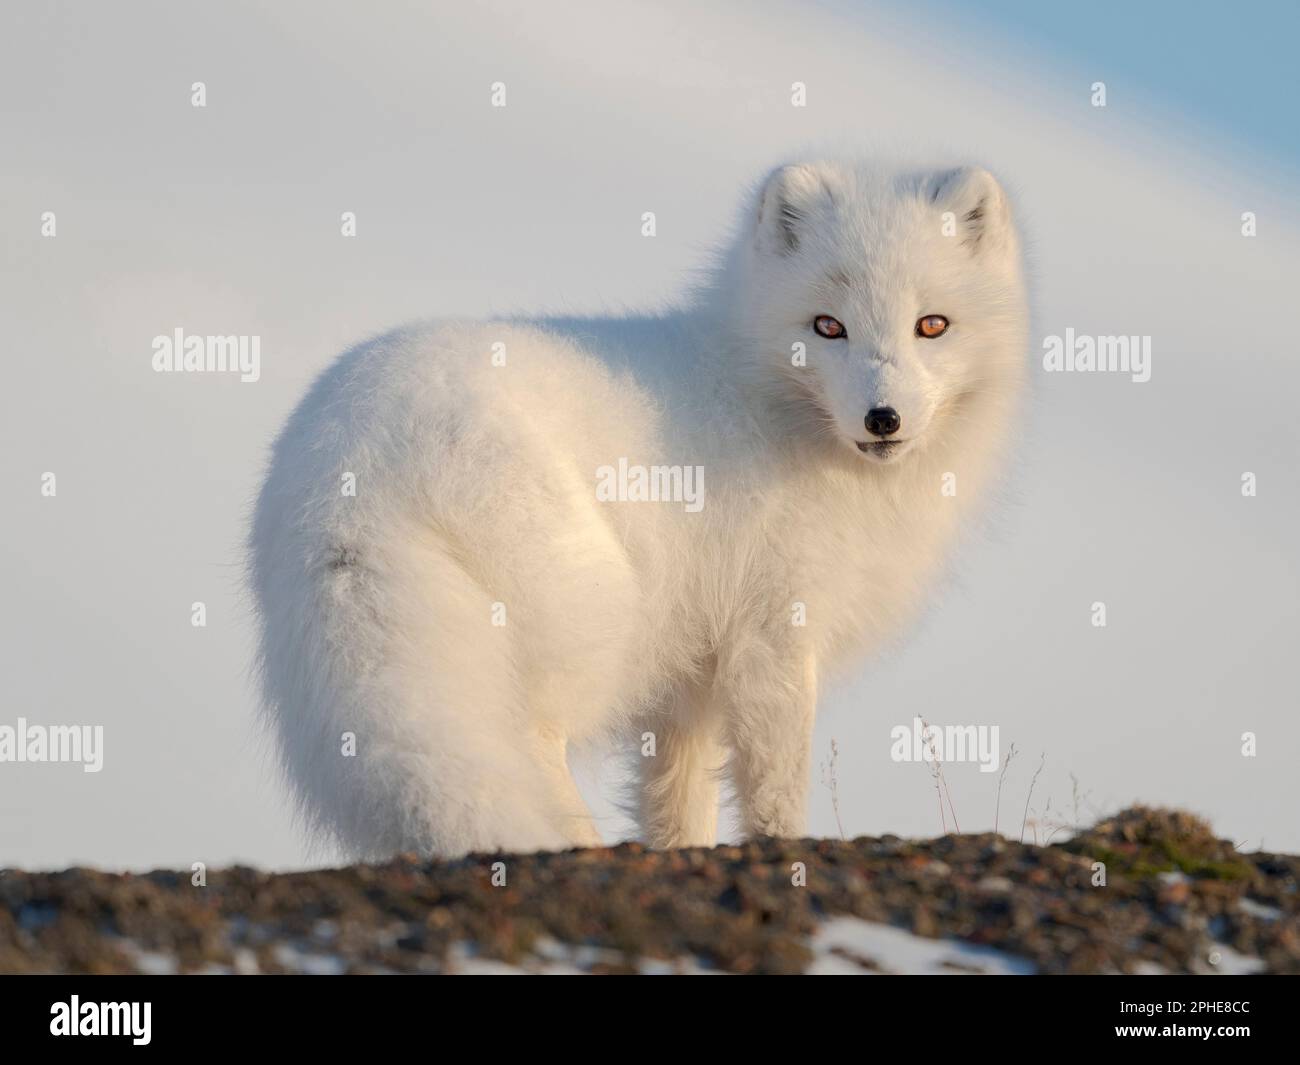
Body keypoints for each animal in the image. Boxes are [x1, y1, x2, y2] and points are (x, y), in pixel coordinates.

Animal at [248, 159, 1030, 860]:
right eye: (828, 326)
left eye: (933, 325)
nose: (882, 418)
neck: (766, 400)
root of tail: (352, 461)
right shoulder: (773, 632)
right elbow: (776, 784)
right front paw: (785, 848)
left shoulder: (695, 677)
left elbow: (677, 796)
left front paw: (680, 852)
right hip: (595, 614)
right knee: (527, 736)